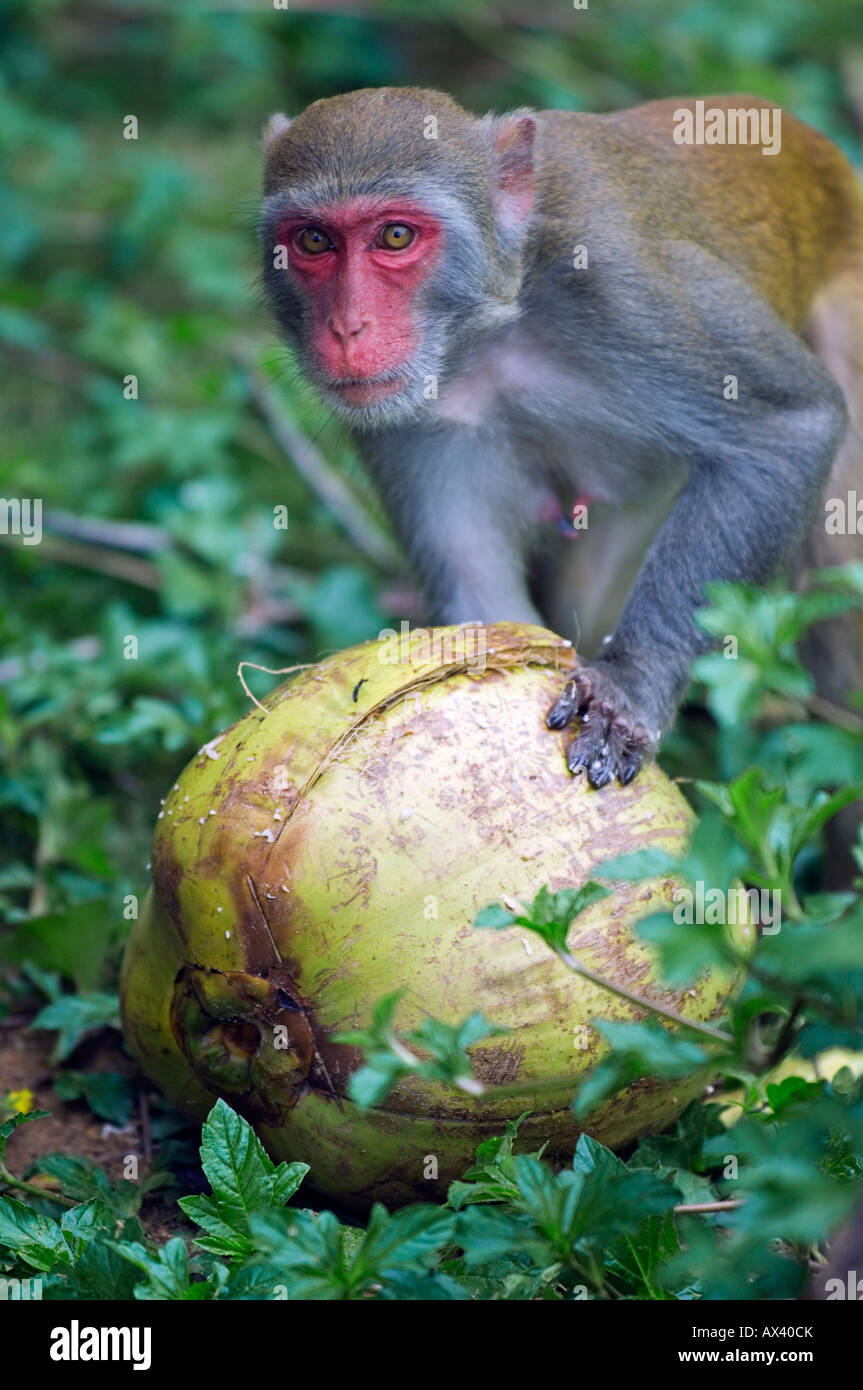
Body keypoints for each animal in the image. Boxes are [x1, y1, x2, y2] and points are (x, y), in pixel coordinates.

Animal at [260, 87, 863, 792]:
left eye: (396, 236)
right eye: (314, 240)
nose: (346, 329)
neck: (492, 321)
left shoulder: (625, 287)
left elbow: (789, 428)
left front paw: (630, 686)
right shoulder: (401, 415)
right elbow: (479, 598)